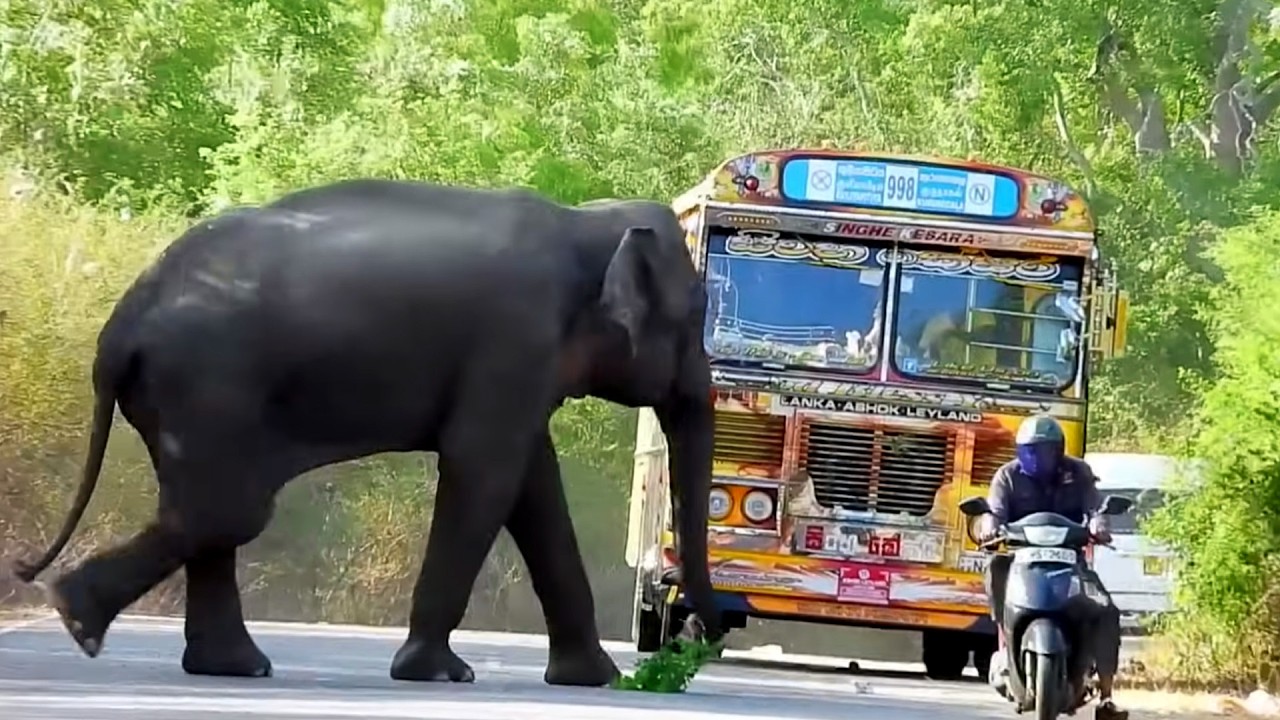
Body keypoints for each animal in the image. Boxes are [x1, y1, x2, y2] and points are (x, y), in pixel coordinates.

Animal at [11, 178, 722, 687]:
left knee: (209, 512)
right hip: (206, 383)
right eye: (696, 315)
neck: (586, 224)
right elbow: (486, 473)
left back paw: (228, 664)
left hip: (181, 398)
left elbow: (532, 487)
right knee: (228, 510)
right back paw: (77, 616)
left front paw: (593, 680)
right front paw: (439, 674)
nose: (698, 636)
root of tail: (120, 324)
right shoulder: (515, 340)